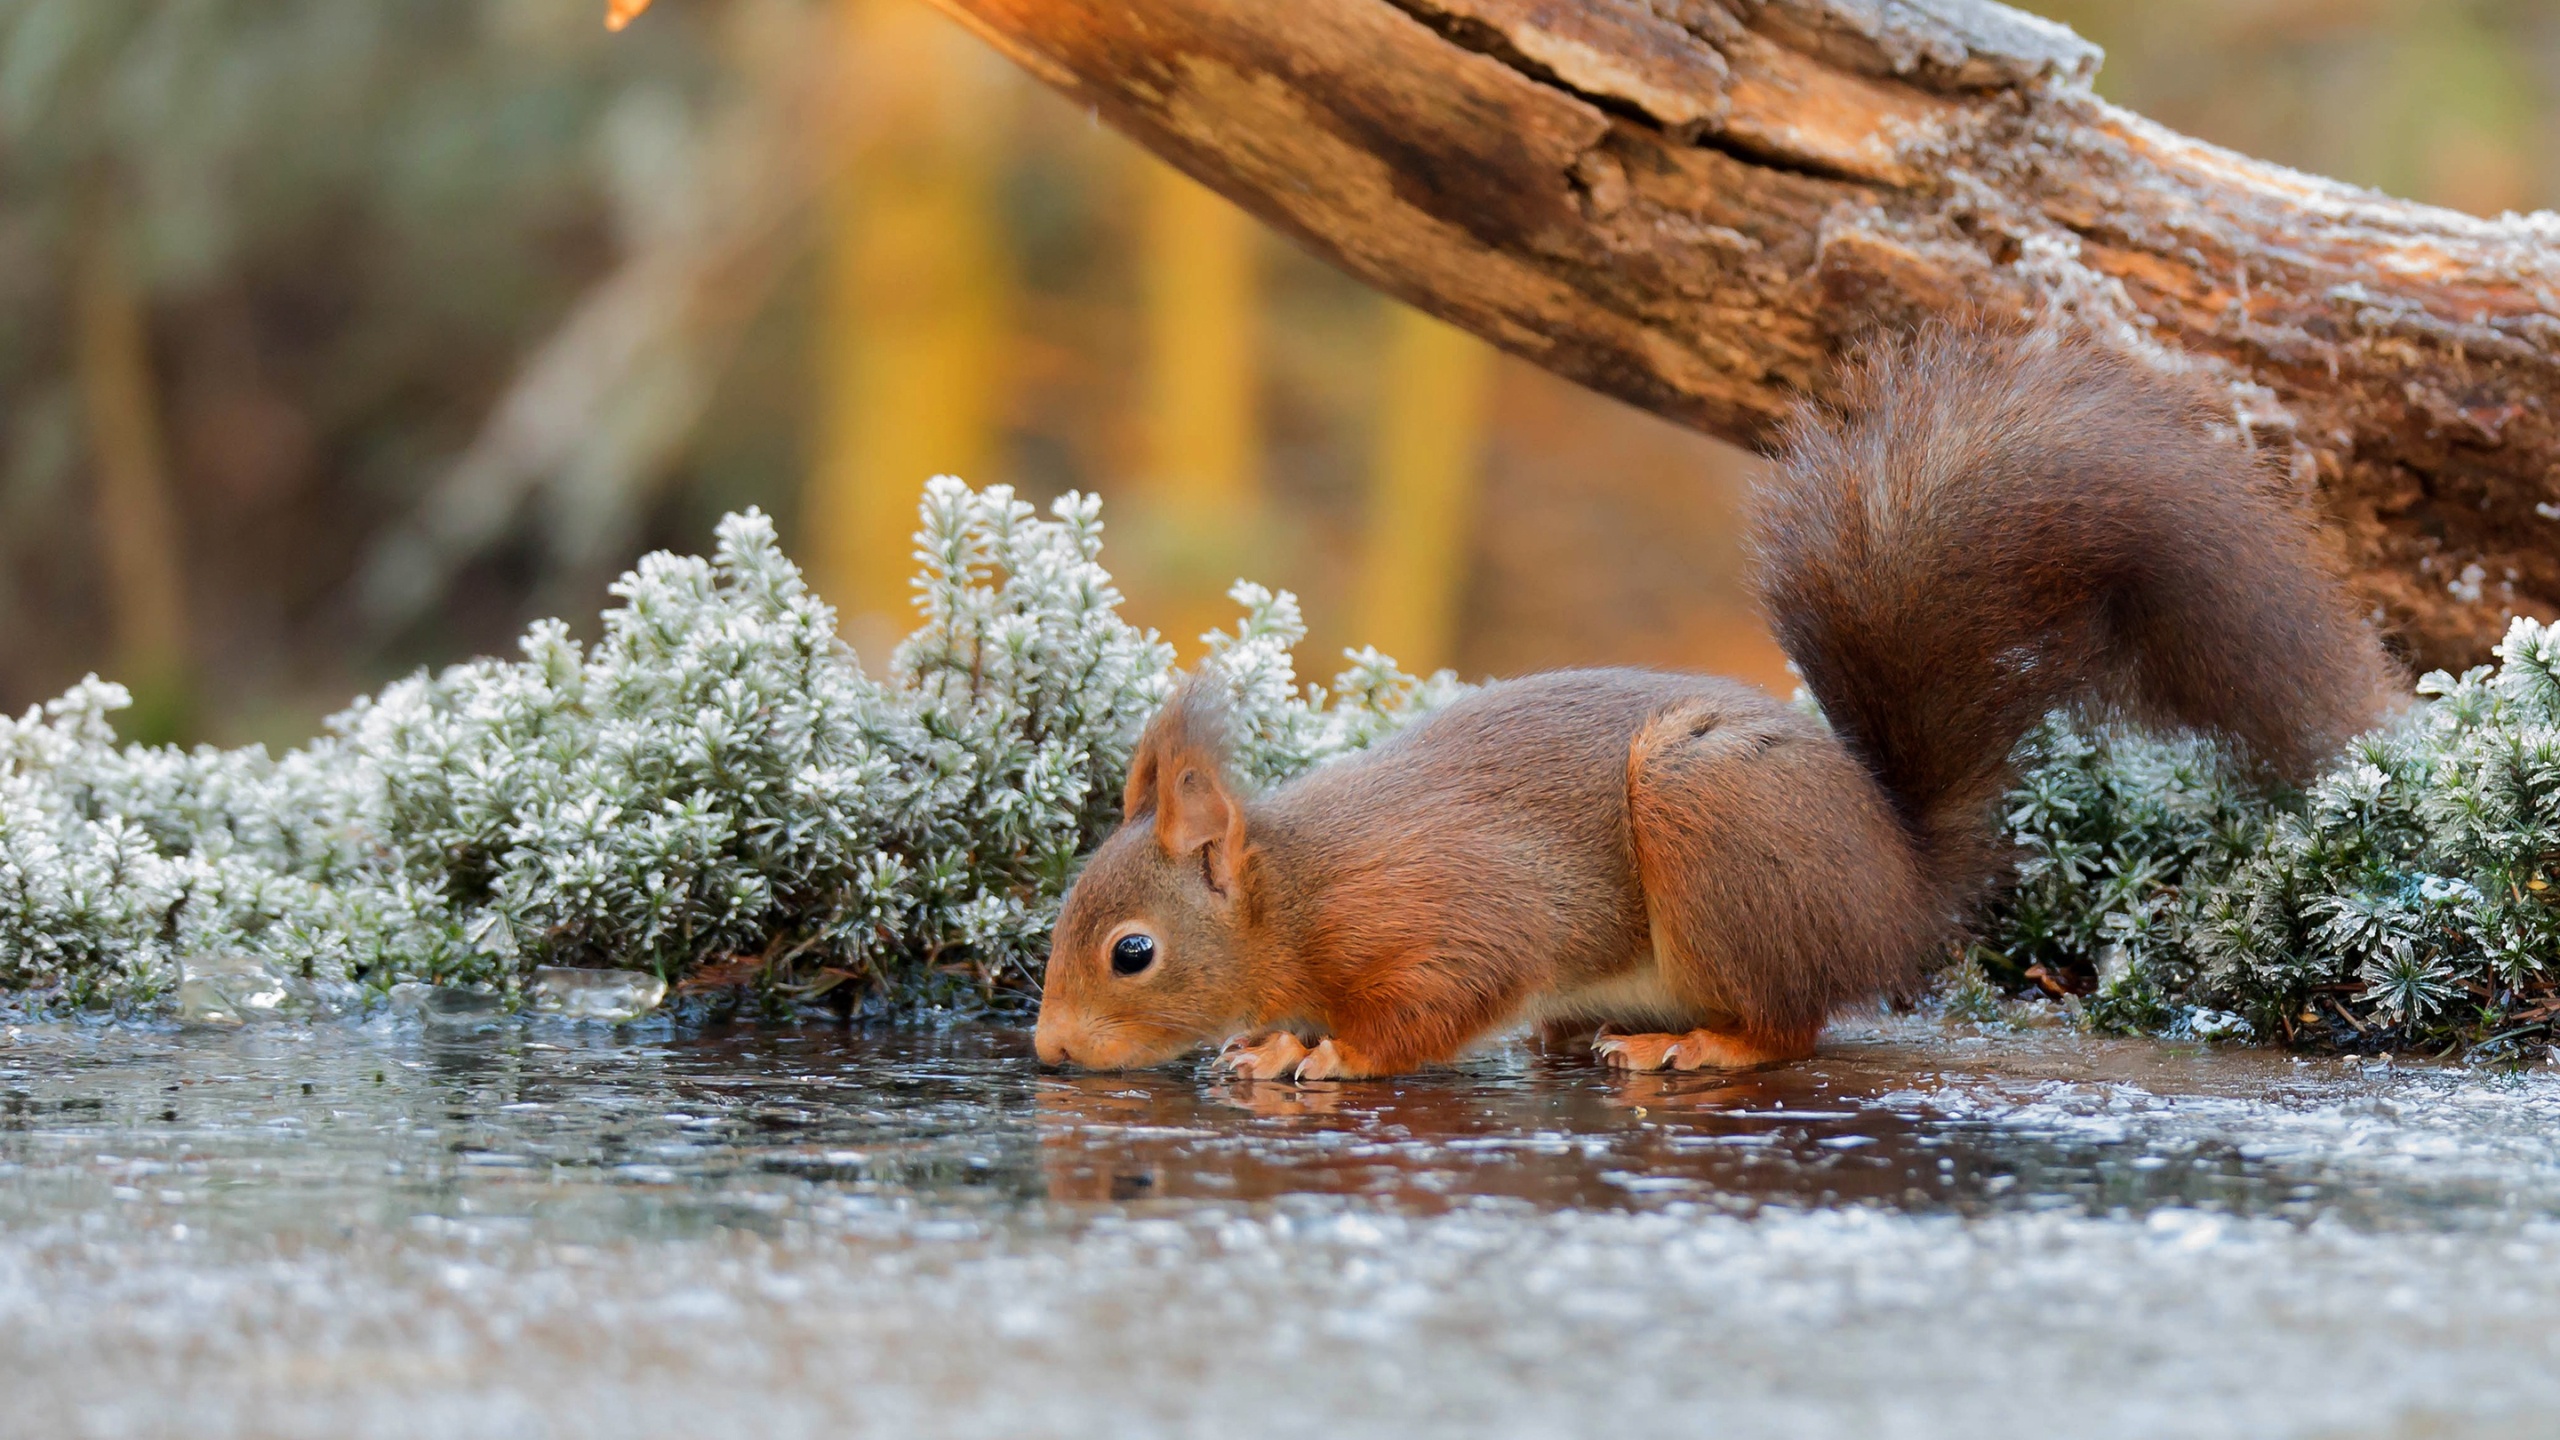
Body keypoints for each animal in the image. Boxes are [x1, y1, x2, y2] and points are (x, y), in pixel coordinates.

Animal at [1032, 323, 2397, 1080]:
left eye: (1132, 953)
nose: (1048, 1051)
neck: (1299, 895)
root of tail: (1898, 888)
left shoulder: (1439, 918)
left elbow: (1437, 1005)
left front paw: (1304, 1055)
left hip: (1712, 823)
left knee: (1789, 1026)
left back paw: (1695, 1043)